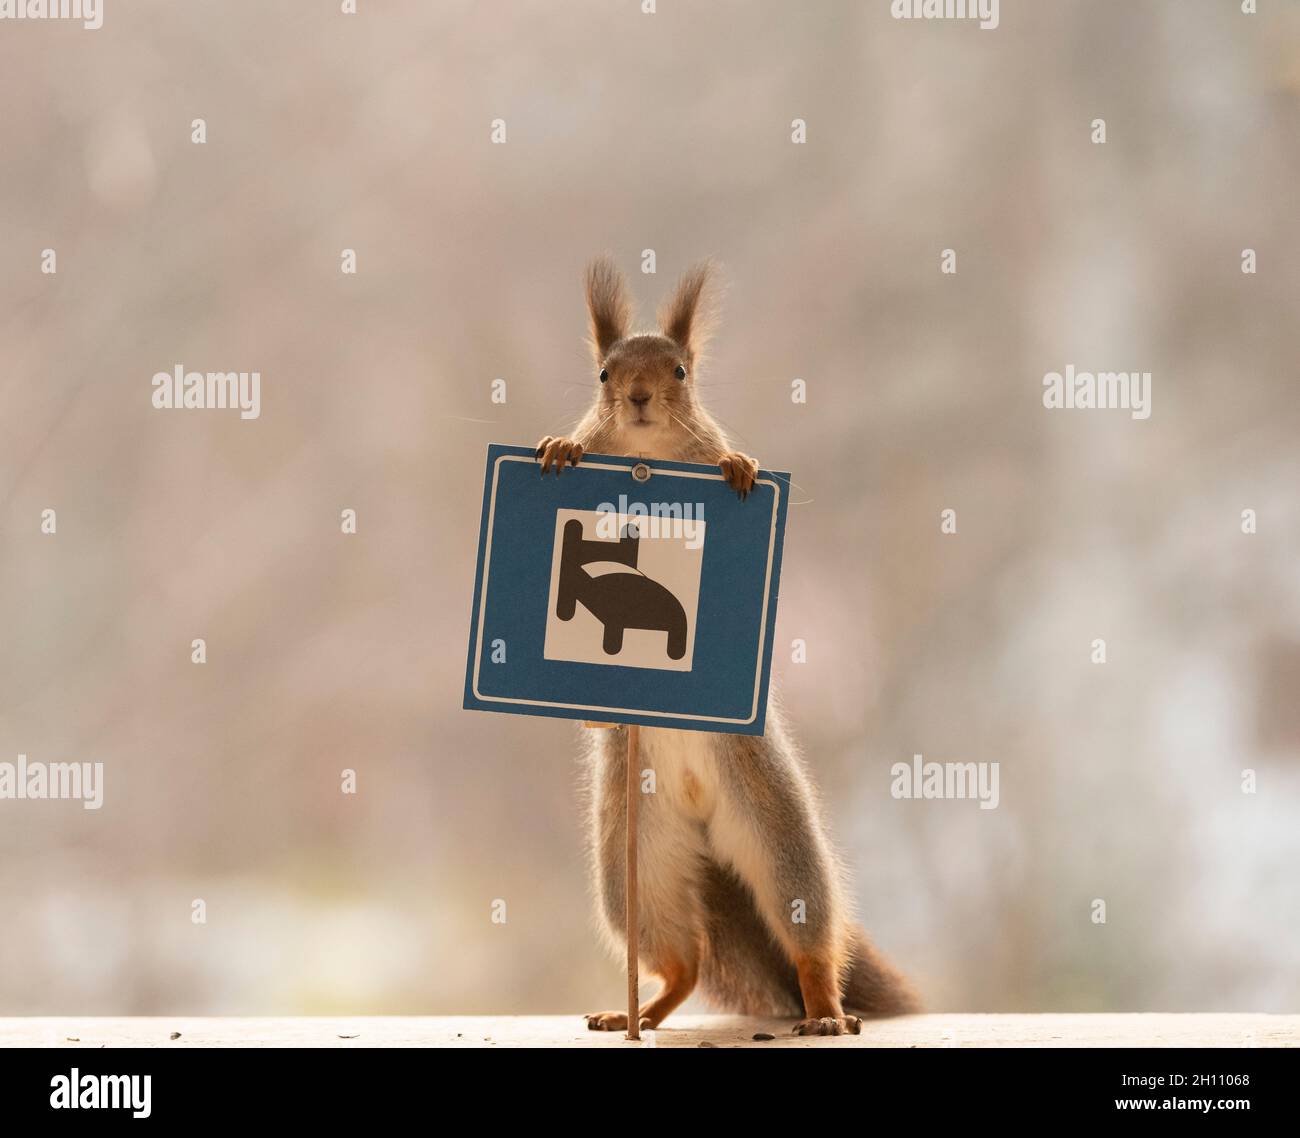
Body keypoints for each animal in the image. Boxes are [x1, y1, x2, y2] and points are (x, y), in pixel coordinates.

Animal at [536, 257, 919, 1036]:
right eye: (603, 374)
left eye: (682, 370)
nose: (640, 397)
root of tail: (699, 815)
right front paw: (563, 448)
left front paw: (740, 467)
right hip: (639, 871)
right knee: (683, 959)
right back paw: (638, 1012)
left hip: (778, 840)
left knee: (809, 942)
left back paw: (825, 1011)